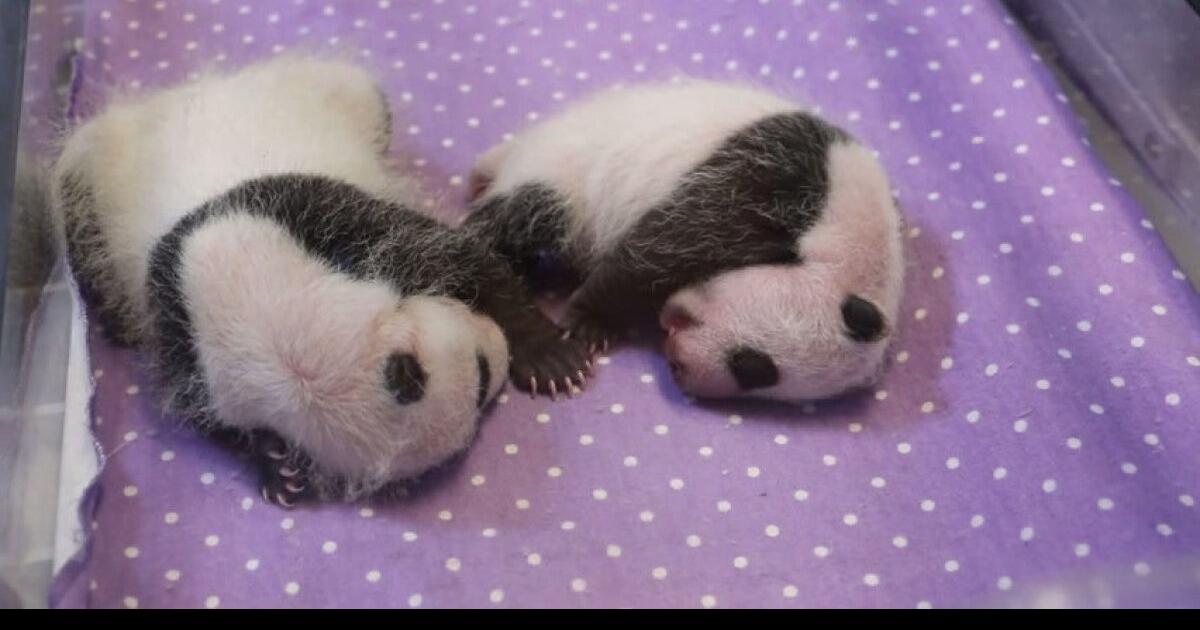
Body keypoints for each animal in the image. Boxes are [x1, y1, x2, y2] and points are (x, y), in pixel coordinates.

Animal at [52, 57, 591, 505]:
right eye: (479, 378)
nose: (498, 353)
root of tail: (175, 93)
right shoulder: (185, 334)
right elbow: (201, 414)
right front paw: (273, 466)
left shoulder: (311, 216)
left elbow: (455, 254)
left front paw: (549, 356)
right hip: (93, 188)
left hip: (313, 88)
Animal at [464, 79, 904, 403]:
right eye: (753, 365)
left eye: (753, 378)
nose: (680, 368)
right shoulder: (777, 178)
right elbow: (665, 245)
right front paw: (590, 320)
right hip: (560, 170)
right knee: (503, 228)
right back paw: (548, 356)